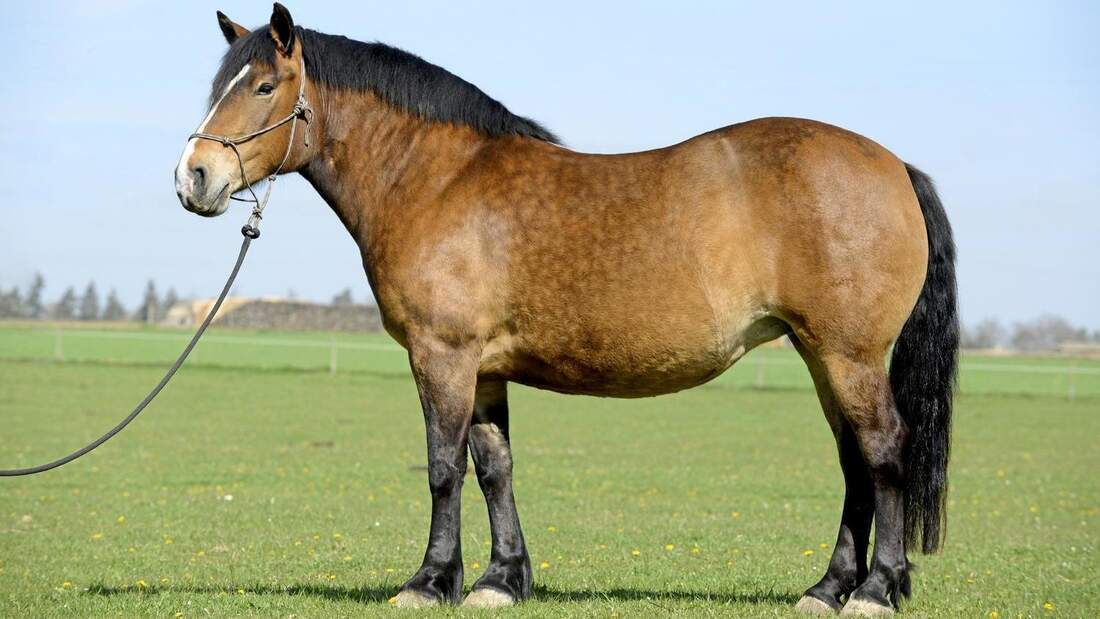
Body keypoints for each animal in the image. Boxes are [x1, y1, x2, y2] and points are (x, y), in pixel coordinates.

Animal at [175, 5, 958, 615]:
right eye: (219, 87)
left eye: (265, 86)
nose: (194, 177)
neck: (436, 179)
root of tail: (894, 165)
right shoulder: (483, 367)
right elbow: (494, 465)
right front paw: (499, 580)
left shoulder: (441, 355)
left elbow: (442, 466)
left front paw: (428, 581)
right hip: (820, 353)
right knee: (854, 460)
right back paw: (827, 588)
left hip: (846, 354)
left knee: (884, 448)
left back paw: (874, 590)